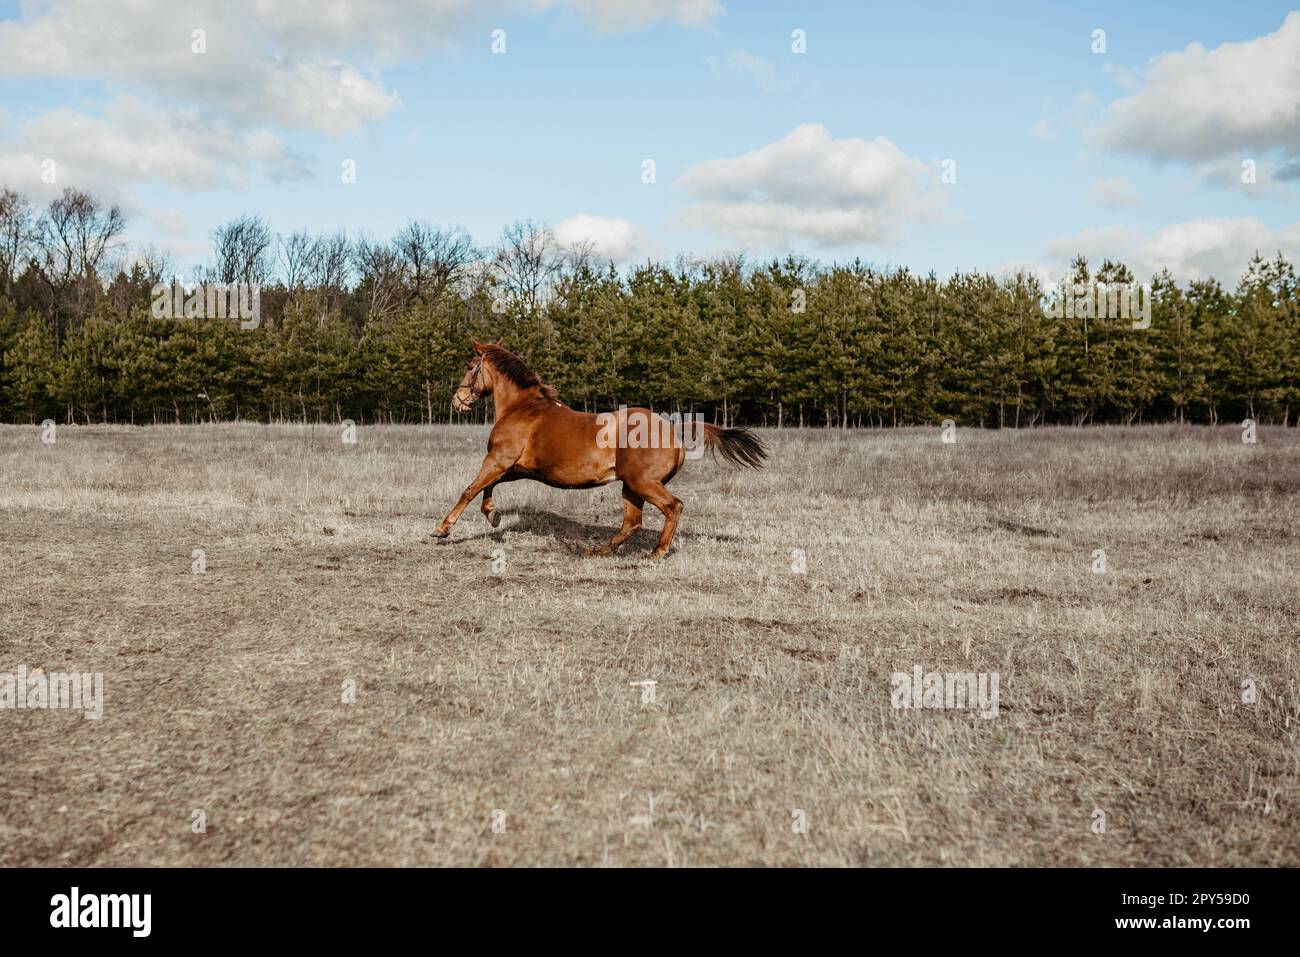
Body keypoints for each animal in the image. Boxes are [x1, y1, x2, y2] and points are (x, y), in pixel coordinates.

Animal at [433, 339, 767, 557]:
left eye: (470, 367)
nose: (457, 401)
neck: (522, 408)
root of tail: (671, 429)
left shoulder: (497, 461)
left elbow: (469, 490)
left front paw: (443, 529)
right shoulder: (513, 468)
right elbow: (486, 490)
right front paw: (493, 515)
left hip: (644, 484)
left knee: (673, 507)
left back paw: (657, 552)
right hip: (631, 487)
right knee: (632, 522)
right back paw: (601, 549)